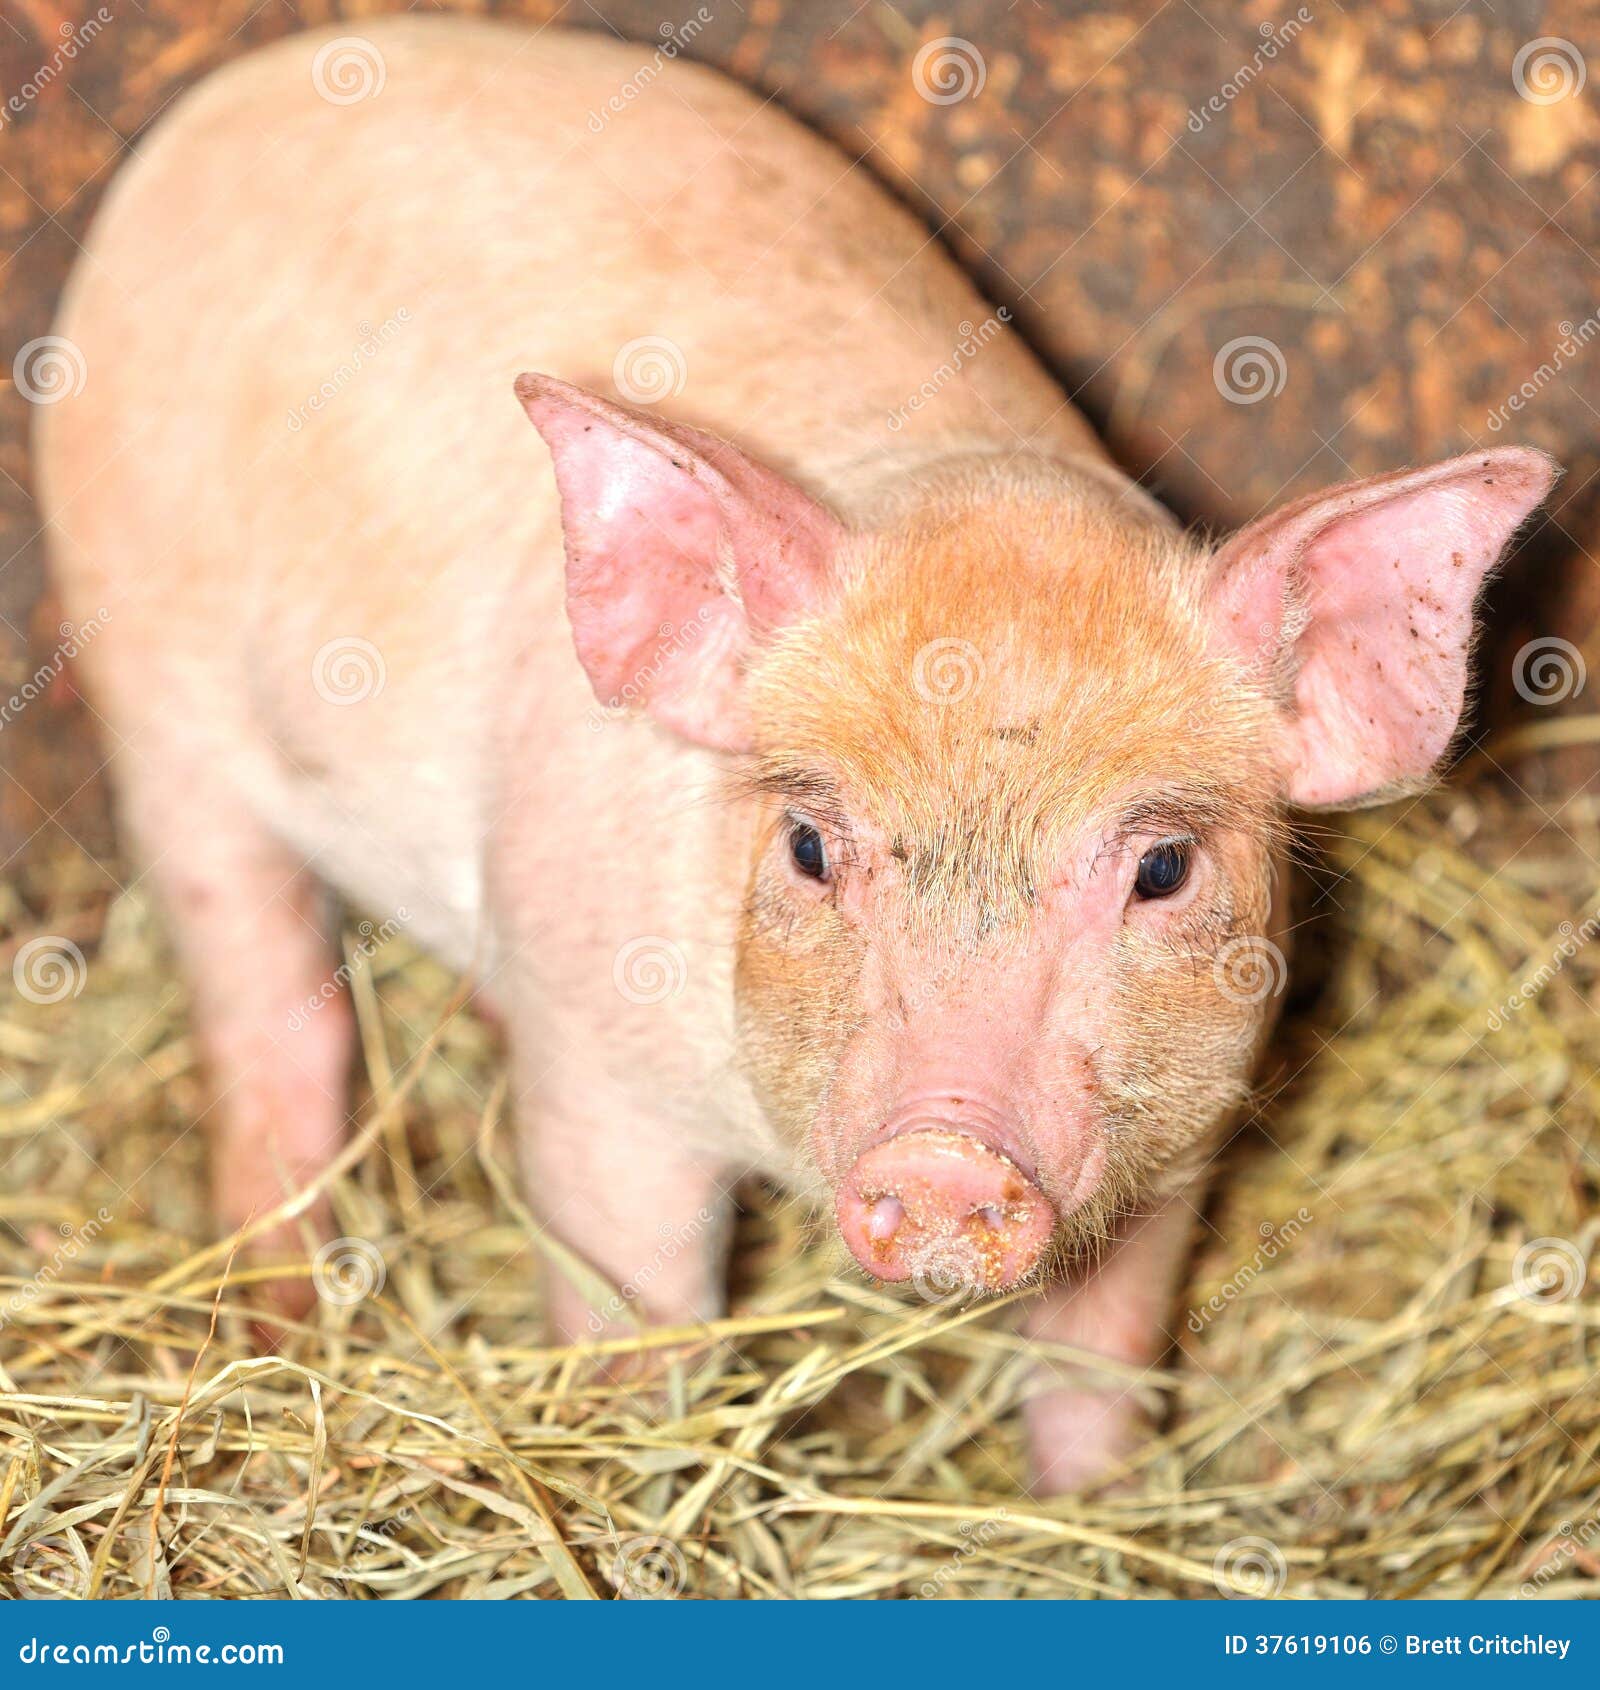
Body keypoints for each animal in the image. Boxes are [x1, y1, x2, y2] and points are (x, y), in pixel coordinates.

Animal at [34, 16, 1555, 1492]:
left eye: (1164, 868)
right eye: (812, 845)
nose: (944, 1153)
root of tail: (233, 97)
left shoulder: (1187, 1125)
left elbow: (1101, 1361)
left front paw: (1091, 1507)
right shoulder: (602, 1070)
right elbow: (634, 1319)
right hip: (155, 693)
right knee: (272, 1015)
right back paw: (281, 1314)